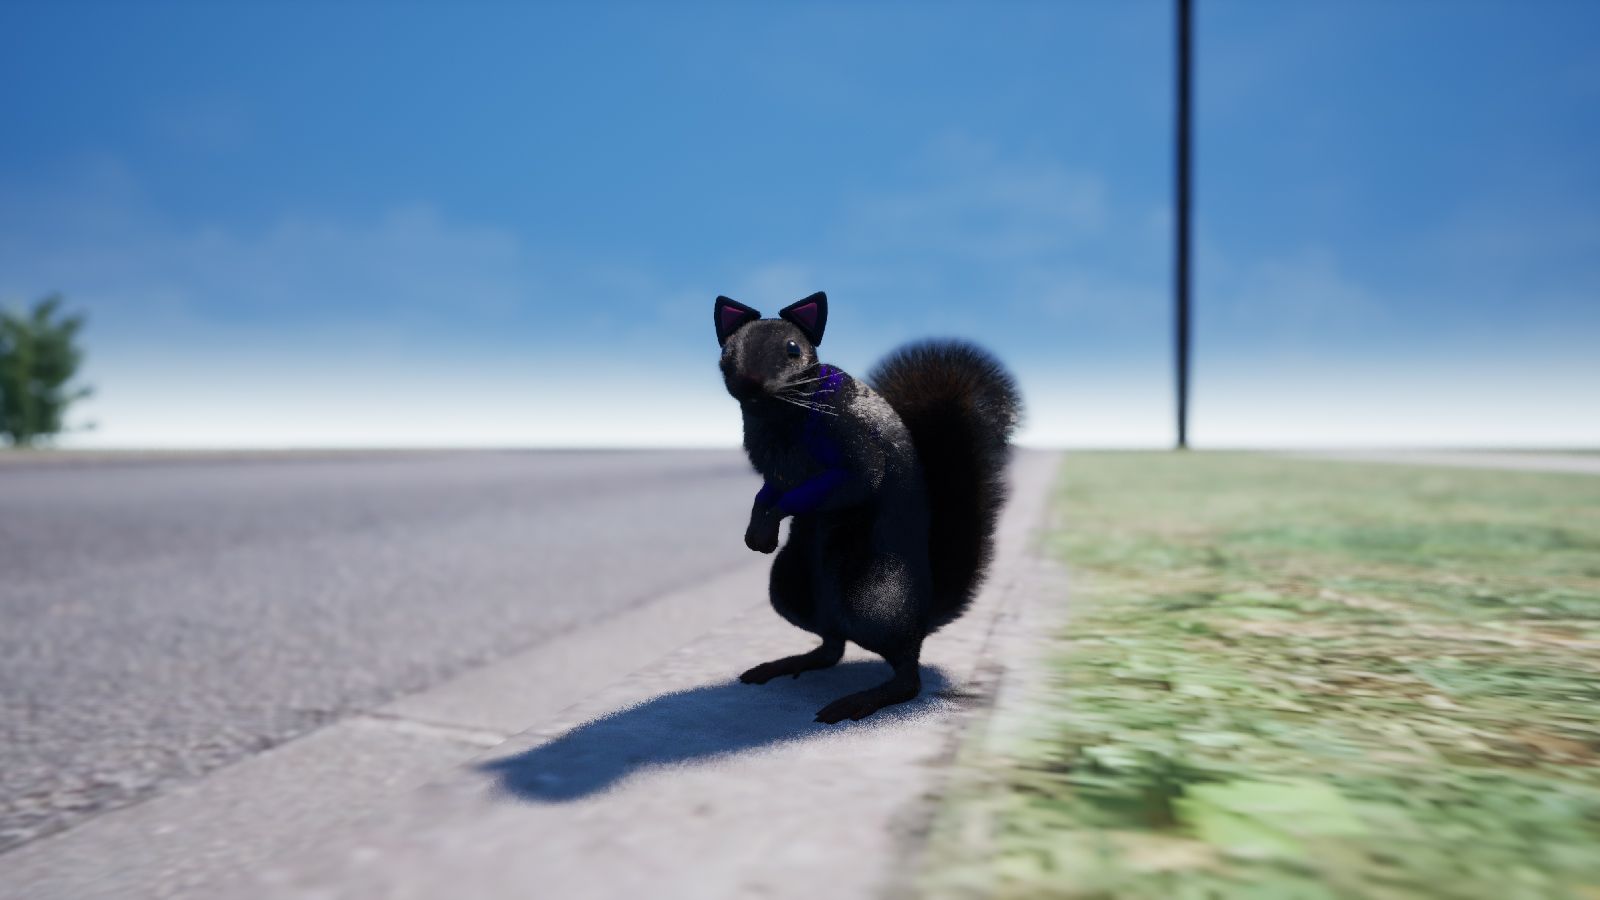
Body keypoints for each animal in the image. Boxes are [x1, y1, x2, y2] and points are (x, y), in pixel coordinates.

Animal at [715, 291, 1022, 723]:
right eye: (727, 350)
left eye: (793, 348)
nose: (749, 383)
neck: (781, 413)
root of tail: (922, 615)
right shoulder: (776, 467)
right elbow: (768, 491)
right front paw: (757, 529)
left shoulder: (851, 446)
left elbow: (848, 483)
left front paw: (769, 522)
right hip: (791, 584)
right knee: (831, 647)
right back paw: (787, 663)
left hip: (873, 597)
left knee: (907, 675)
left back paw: (860, 699)